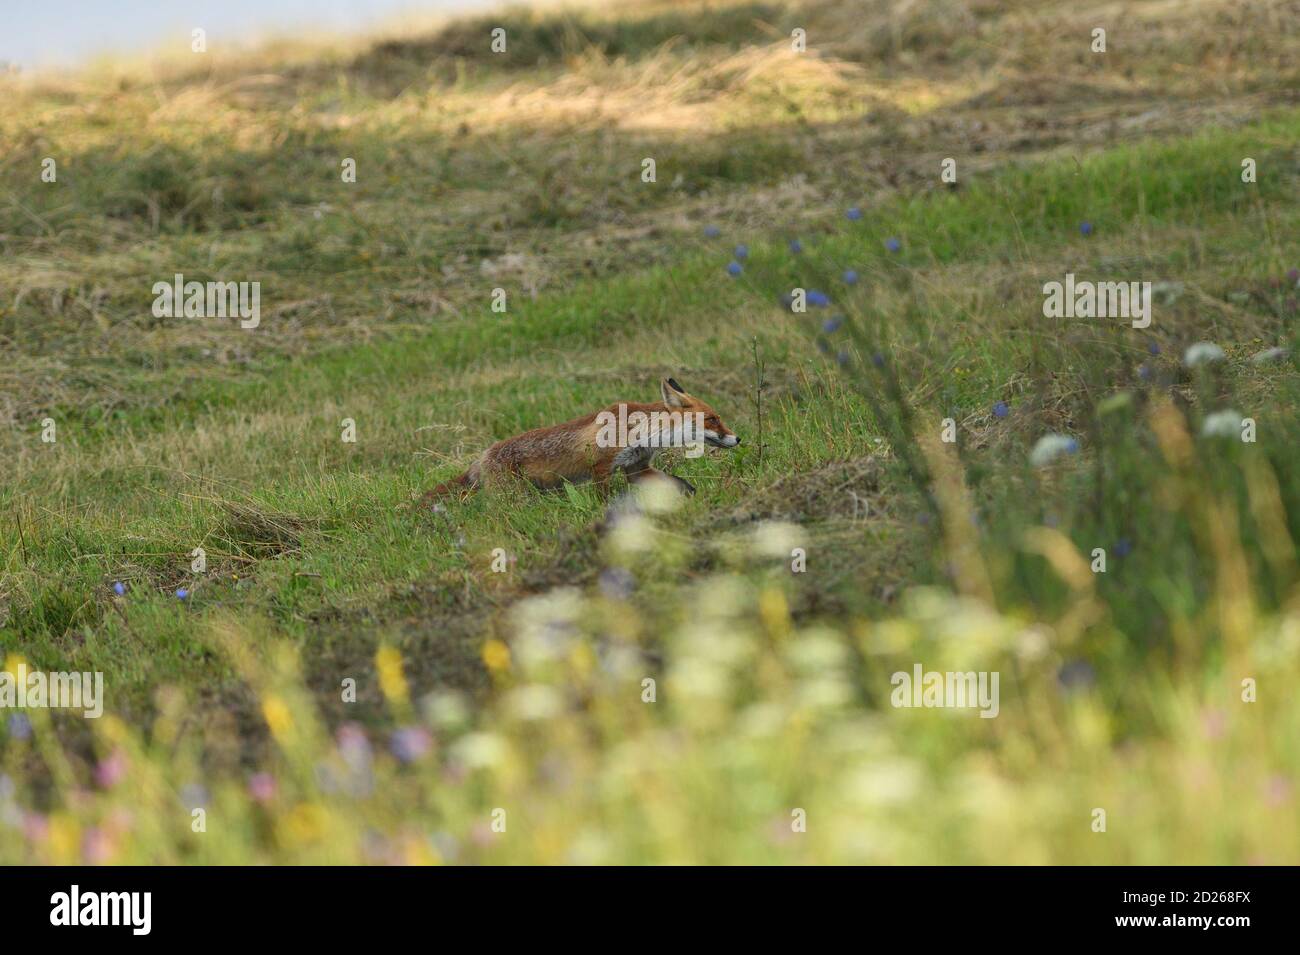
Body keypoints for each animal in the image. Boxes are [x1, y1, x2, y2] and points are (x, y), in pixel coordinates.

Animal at [423, 377, 739, 504]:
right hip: (511, 496)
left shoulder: (636, 467)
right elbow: (604, 498)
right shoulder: (600, 468)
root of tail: (479, 458)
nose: (738, 438)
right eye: (713, 419)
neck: (640, 429)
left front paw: (697, 497)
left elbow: (679, 483)